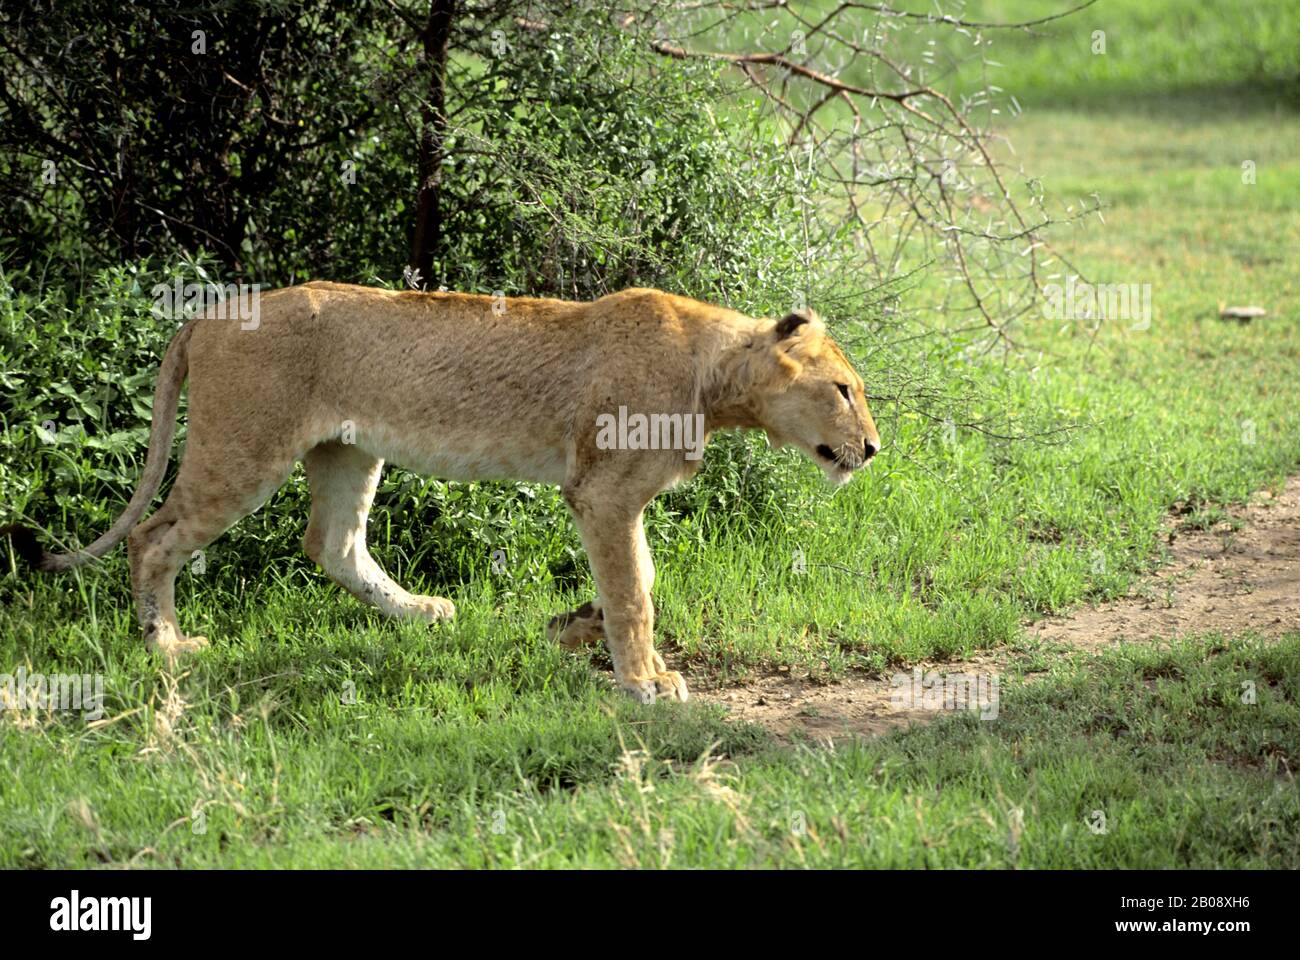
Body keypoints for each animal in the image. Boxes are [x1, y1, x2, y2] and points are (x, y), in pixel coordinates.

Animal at [4, 283, 879, 703]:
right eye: (843, 389)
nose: (871, 449)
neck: (717, 377)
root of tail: (205, 316)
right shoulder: (602, 492)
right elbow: (636, 589)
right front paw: (644, 680)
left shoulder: (615, 498)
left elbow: (638, 580)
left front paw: (580, 627)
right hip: (243, 450)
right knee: (153, 537)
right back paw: (166, 644)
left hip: (346, 450)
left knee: (331, 544)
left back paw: (424, 613)